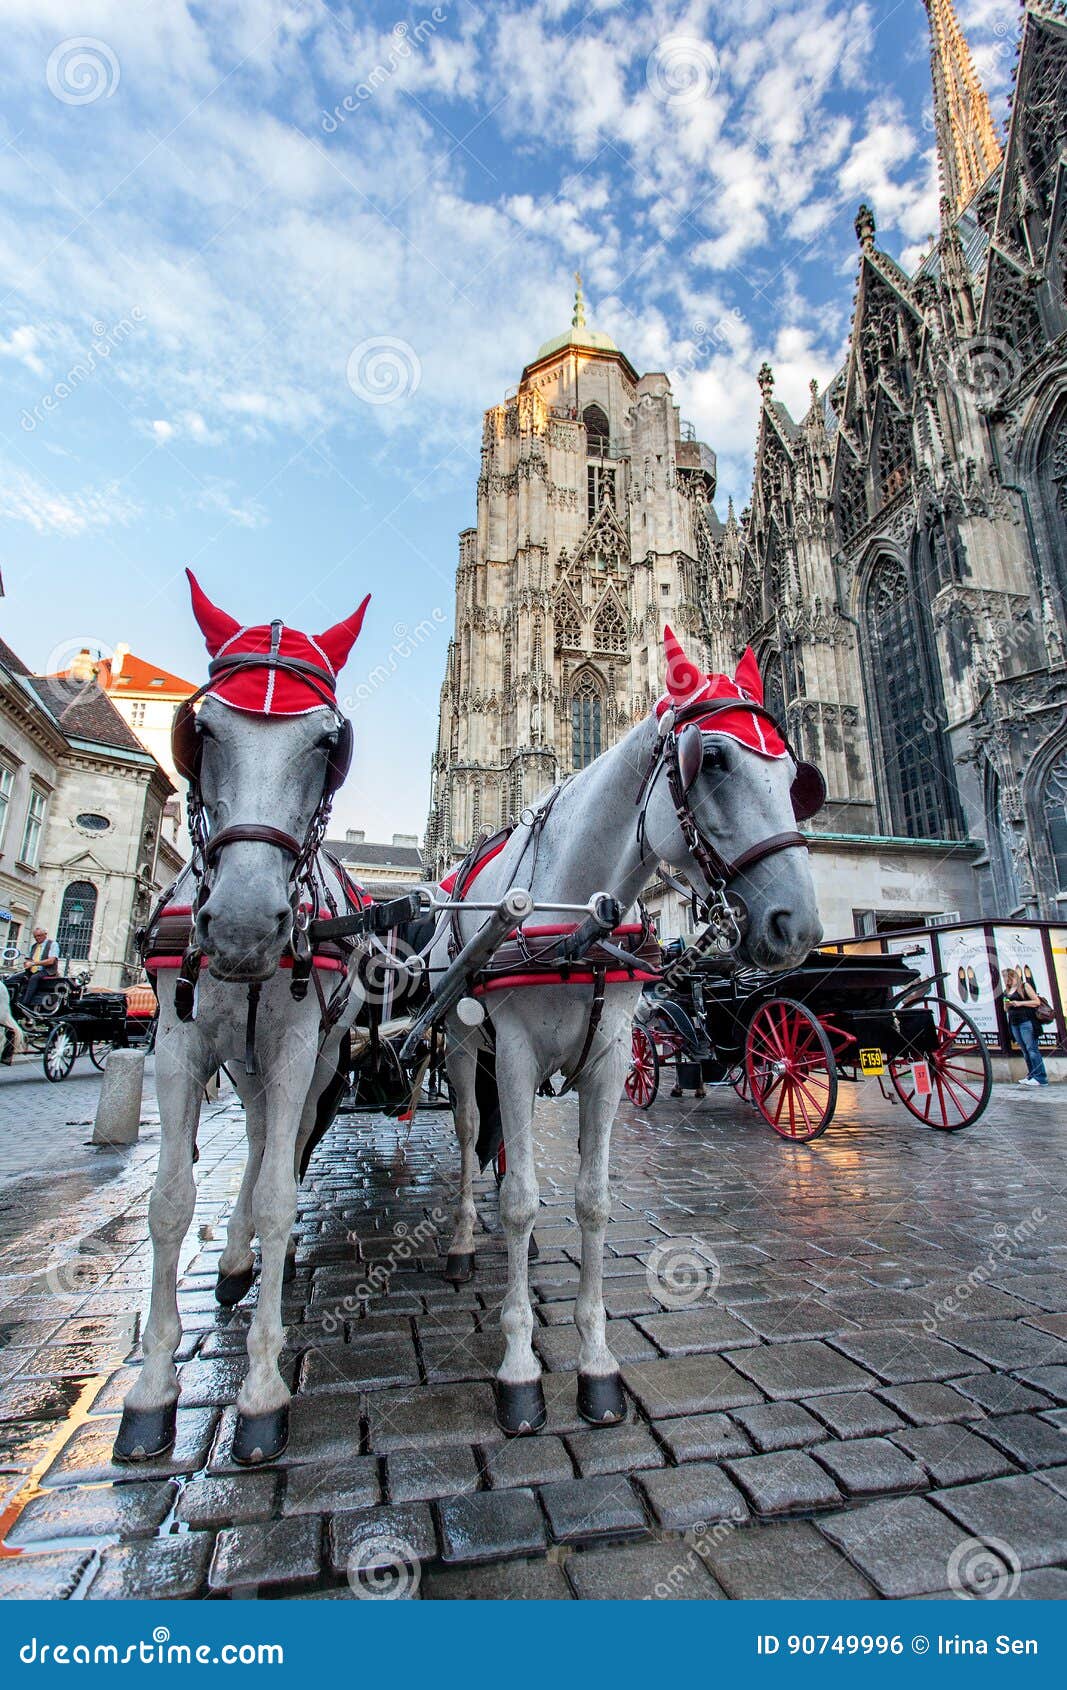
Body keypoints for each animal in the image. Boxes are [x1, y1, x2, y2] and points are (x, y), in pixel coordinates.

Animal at [114, 571, 372, 1468]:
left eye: (329, 745)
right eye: (200, 732)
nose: (244, 925)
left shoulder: (299, 1050)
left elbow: (276, 1196)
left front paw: (260, 1392)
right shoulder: (178, 1048)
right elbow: (167, 1201)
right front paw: (152, 1390)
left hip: (312, 1058)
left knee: (274, 1148)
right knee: (261, 1140)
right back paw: (232, 1263)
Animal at [435, 630, 824, 1435]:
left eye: (794, 775)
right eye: (712, 759)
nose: (797, 924)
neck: (575, 914)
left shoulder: (611, 1062)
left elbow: (592, 1201)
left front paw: (595, 1362)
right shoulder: (514, 1057)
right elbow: (522, 1202)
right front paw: (519, 1367)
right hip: (460, 1045)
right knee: (467, 1136)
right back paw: (460, 1239)